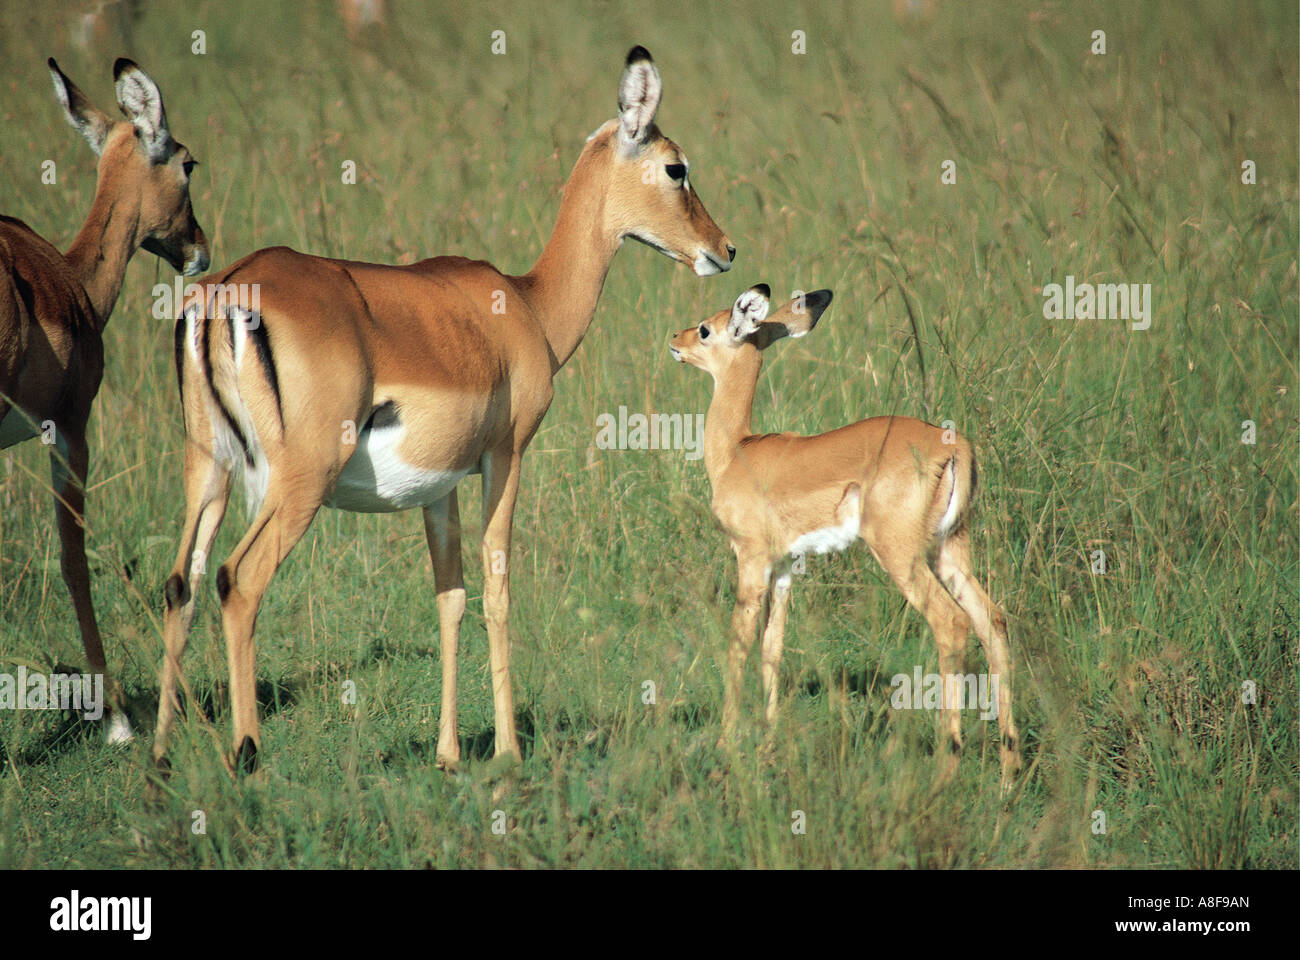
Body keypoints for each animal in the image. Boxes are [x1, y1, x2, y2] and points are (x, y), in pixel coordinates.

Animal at [1, 58, 209, 741]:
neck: (73, 284)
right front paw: (117, 718)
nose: (199, 248)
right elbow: (74, 558)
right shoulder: (70, 428)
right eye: (187, 162)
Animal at [153, 47, 733, 772]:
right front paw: (508, 751)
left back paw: (159, 763)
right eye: (676, 167)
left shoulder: (438, 486)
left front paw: (450, 753)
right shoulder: (505, 457)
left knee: (181, 584)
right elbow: (497, 591)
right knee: (238, 581)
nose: (724, 249)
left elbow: (449, 598)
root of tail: (224, 294)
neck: (527, 304)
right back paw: (247, 756)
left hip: (208, 470)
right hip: (298, 481)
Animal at [669, 285, 1022, 785]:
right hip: (950, 550)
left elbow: (738, 645)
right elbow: (773, 647)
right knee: (992, 620)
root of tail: (957, 446)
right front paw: (769, 741)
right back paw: (1009, 772)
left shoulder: (750, 560)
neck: (737, 451)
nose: (675, 340)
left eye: (706, 329)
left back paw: (946, 767)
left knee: (951, 623)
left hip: (901, 556)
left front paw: (726, 743)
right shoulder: (784, 567)